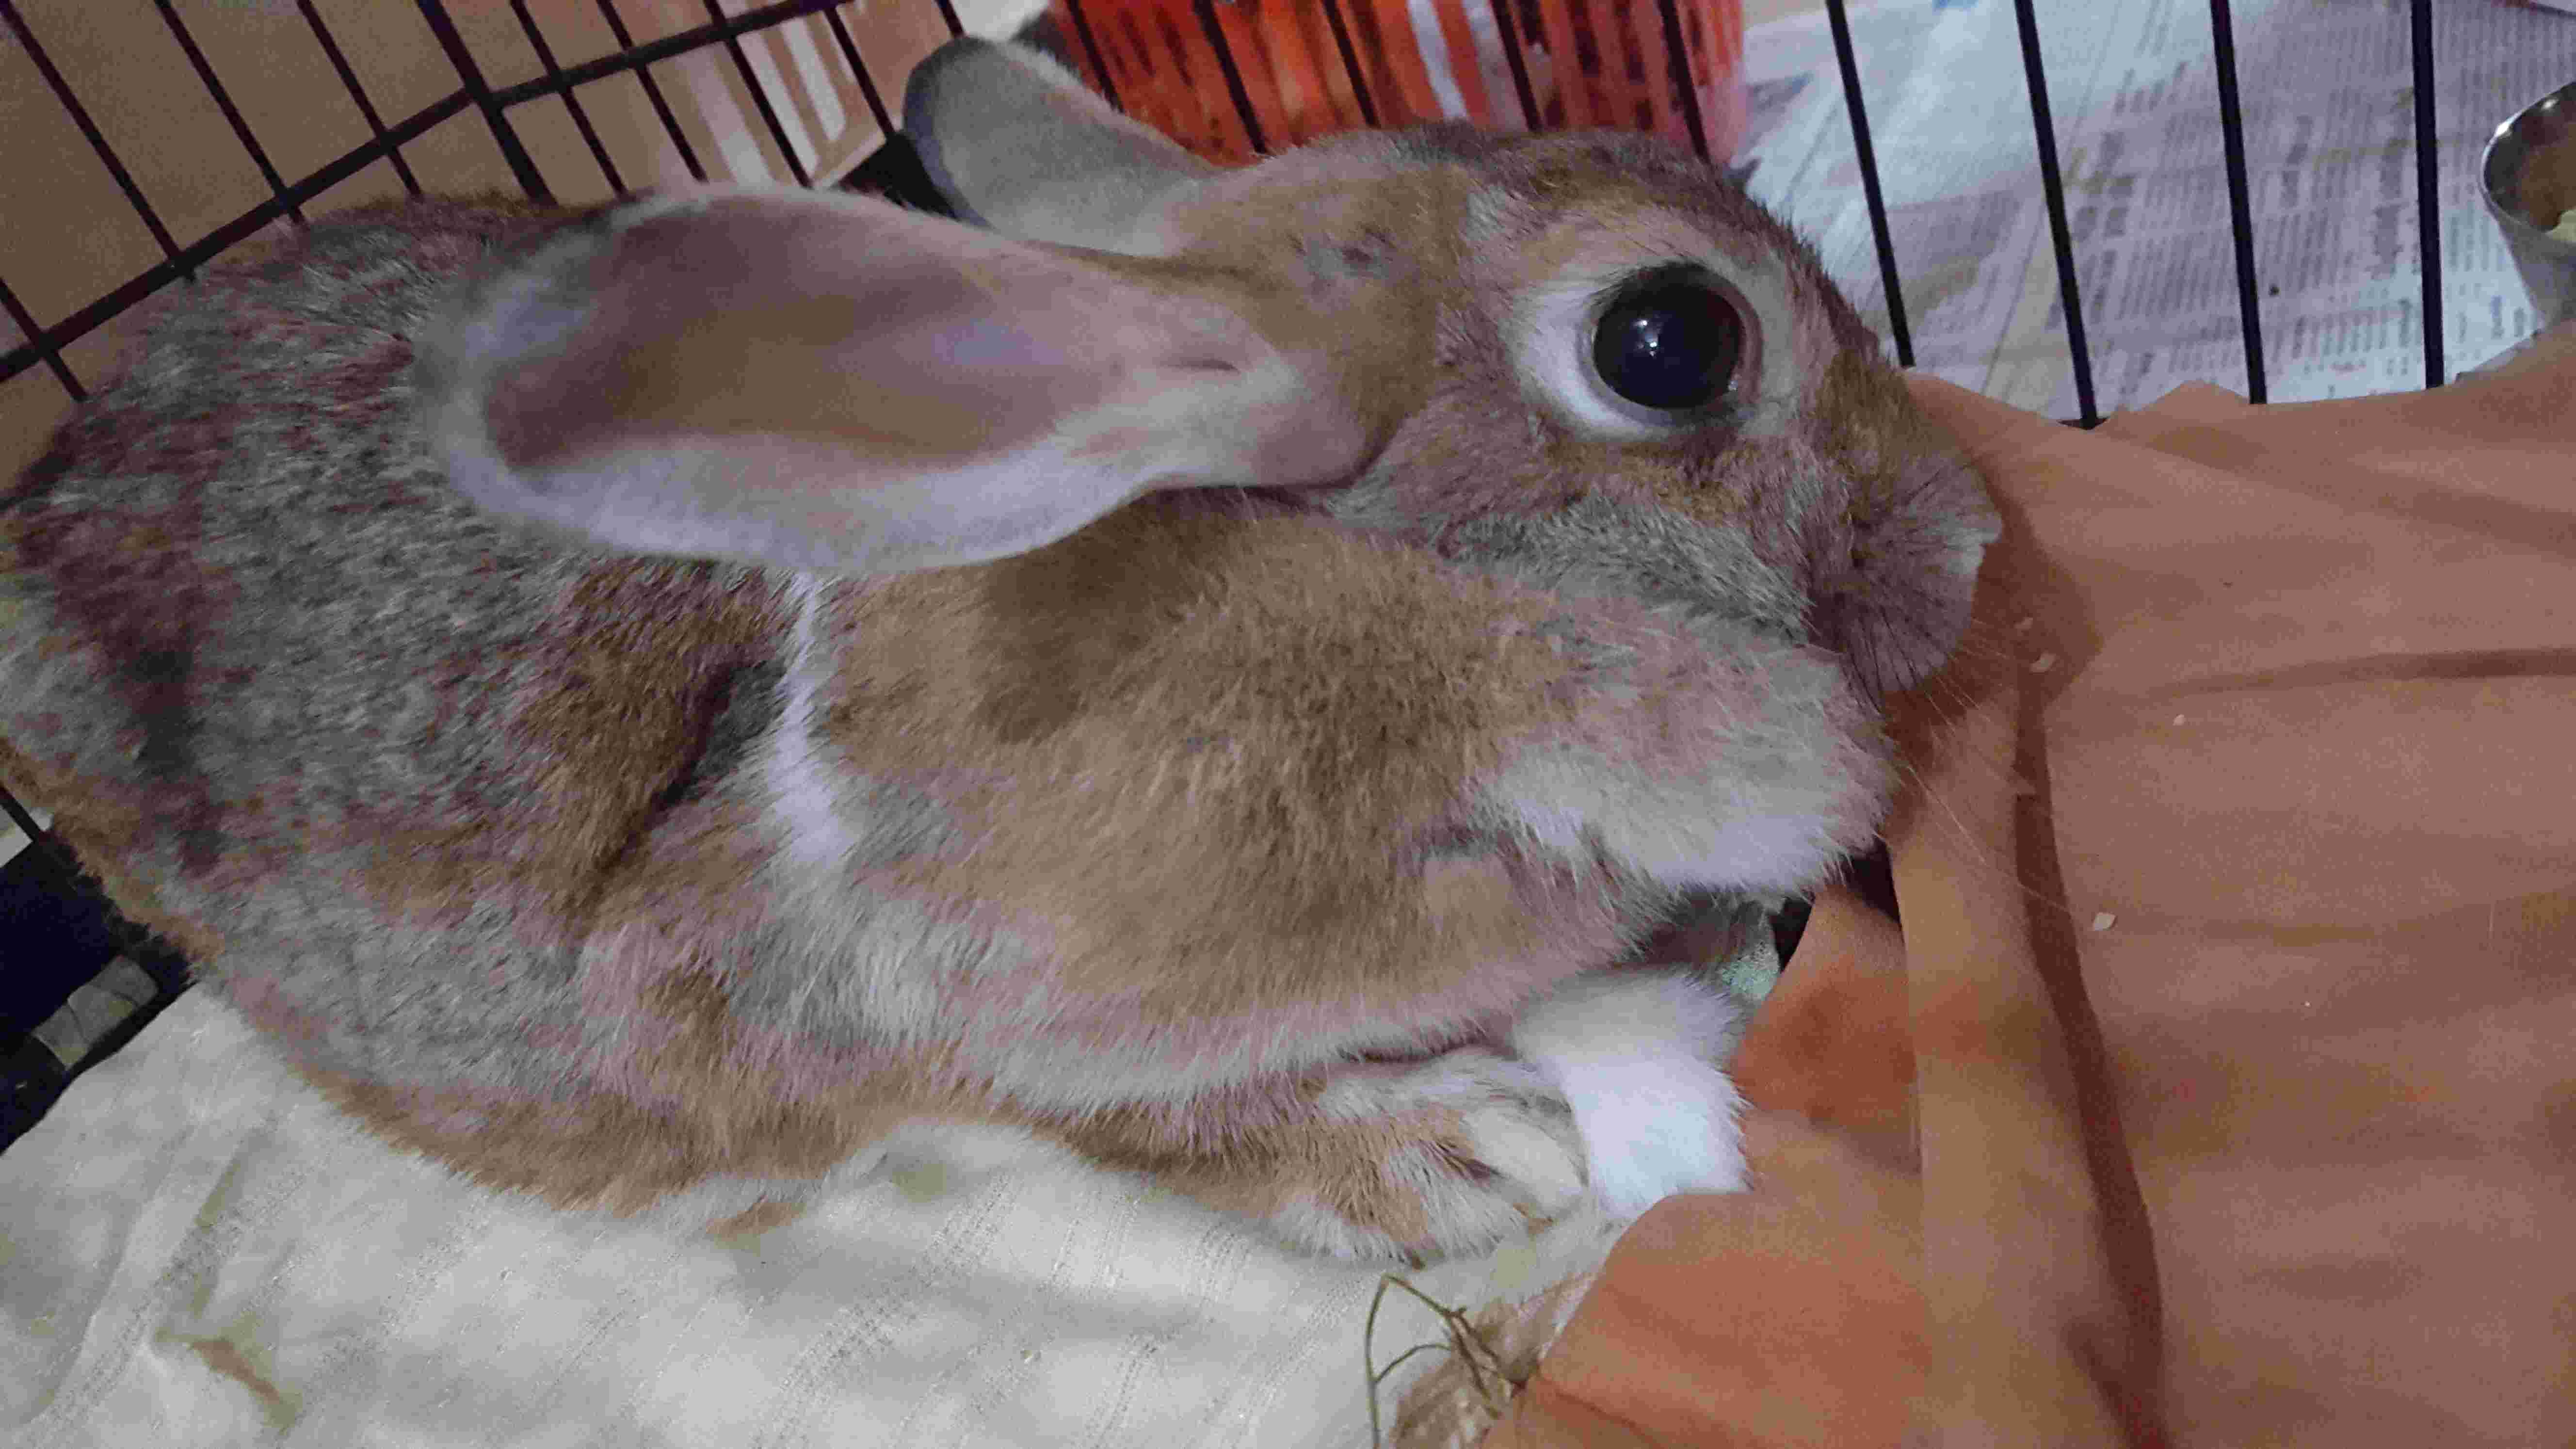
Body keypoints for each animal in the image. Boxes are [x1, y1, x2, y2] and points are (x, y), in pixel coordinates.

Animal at [0, 37, 1994, 1264]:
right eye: (1670, 341)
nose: (1967, 544)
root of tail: (49, 478)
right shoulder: (916, 1019)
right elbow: (1157, 1126)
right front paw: (1459, 1155)